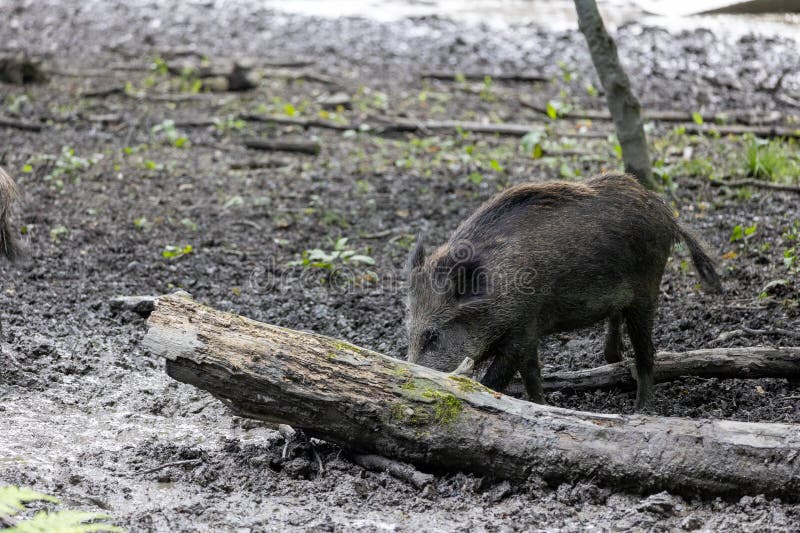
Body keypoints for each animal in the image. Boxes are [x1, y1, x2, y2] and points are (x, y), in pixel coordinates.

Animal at [405, 172, 722, 410]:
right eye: (409, 332)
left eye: (433, 335)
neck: (497, 289)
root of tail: (667, 214)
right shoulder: (528, 333)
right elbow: (532, 375)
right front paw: (542, 406)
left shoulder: (522, 327)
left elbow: (495, 379)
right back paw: (612, 358)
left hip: (648, 287)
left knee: (647, 352)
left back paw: (641, 409)